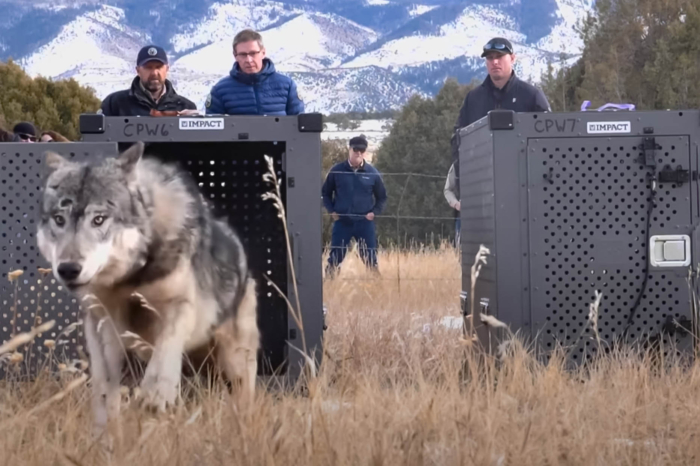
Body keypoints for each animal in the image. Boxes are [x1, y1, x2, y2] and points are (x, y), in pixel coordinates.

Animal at [36, 141, 260, 431]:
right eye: (59, 220)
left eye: (99, 219)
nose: (68, 269)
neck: (131, 279)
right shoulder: (102, 324)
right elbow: (105, 386)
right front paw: (106, 429)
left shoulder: (180, 306)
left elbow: (164, 352)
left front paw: (155, 396)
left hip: (233, 362)